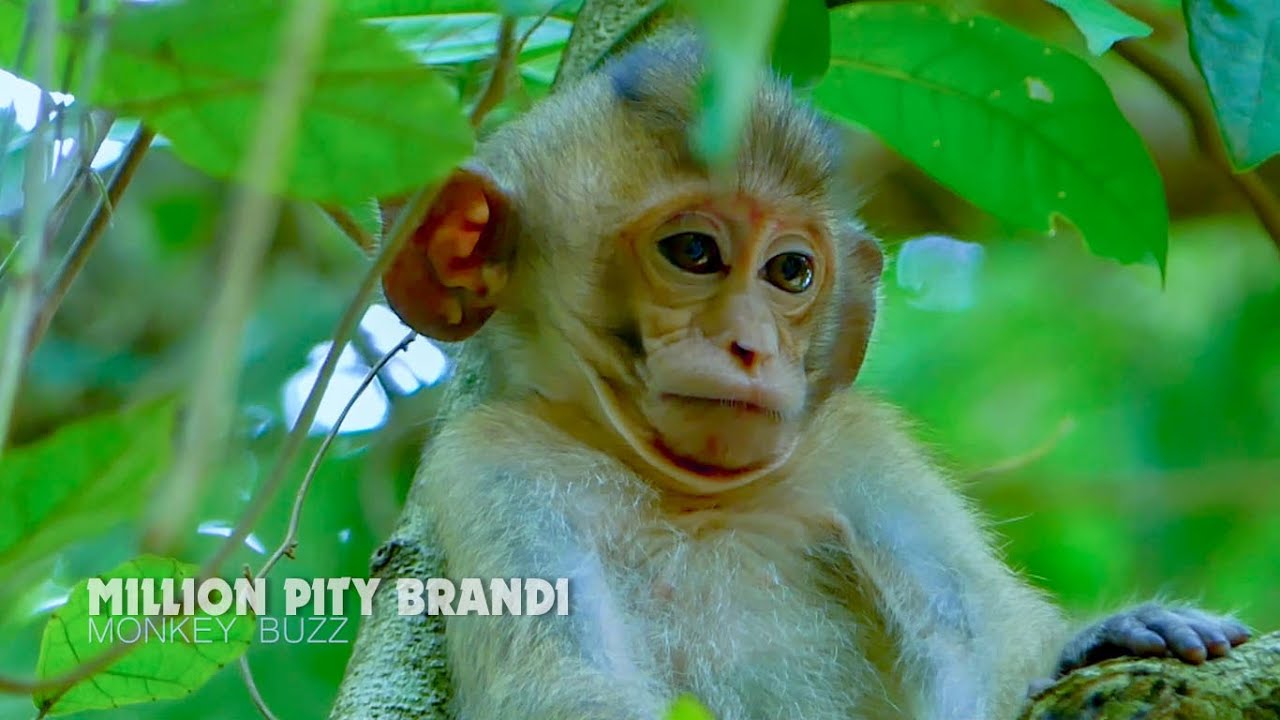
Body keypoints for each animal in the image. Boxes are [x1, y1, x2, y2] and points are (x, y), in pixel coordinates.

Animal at [377, 30, 1250, 720]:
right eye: (693, 252)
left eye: (789, 272)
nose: (754, 346)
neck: (687, 493)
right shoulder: (493, 461)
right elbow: (565, 682)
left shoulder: (858, 445)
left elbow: (973, 635)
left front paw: (1099, 639)